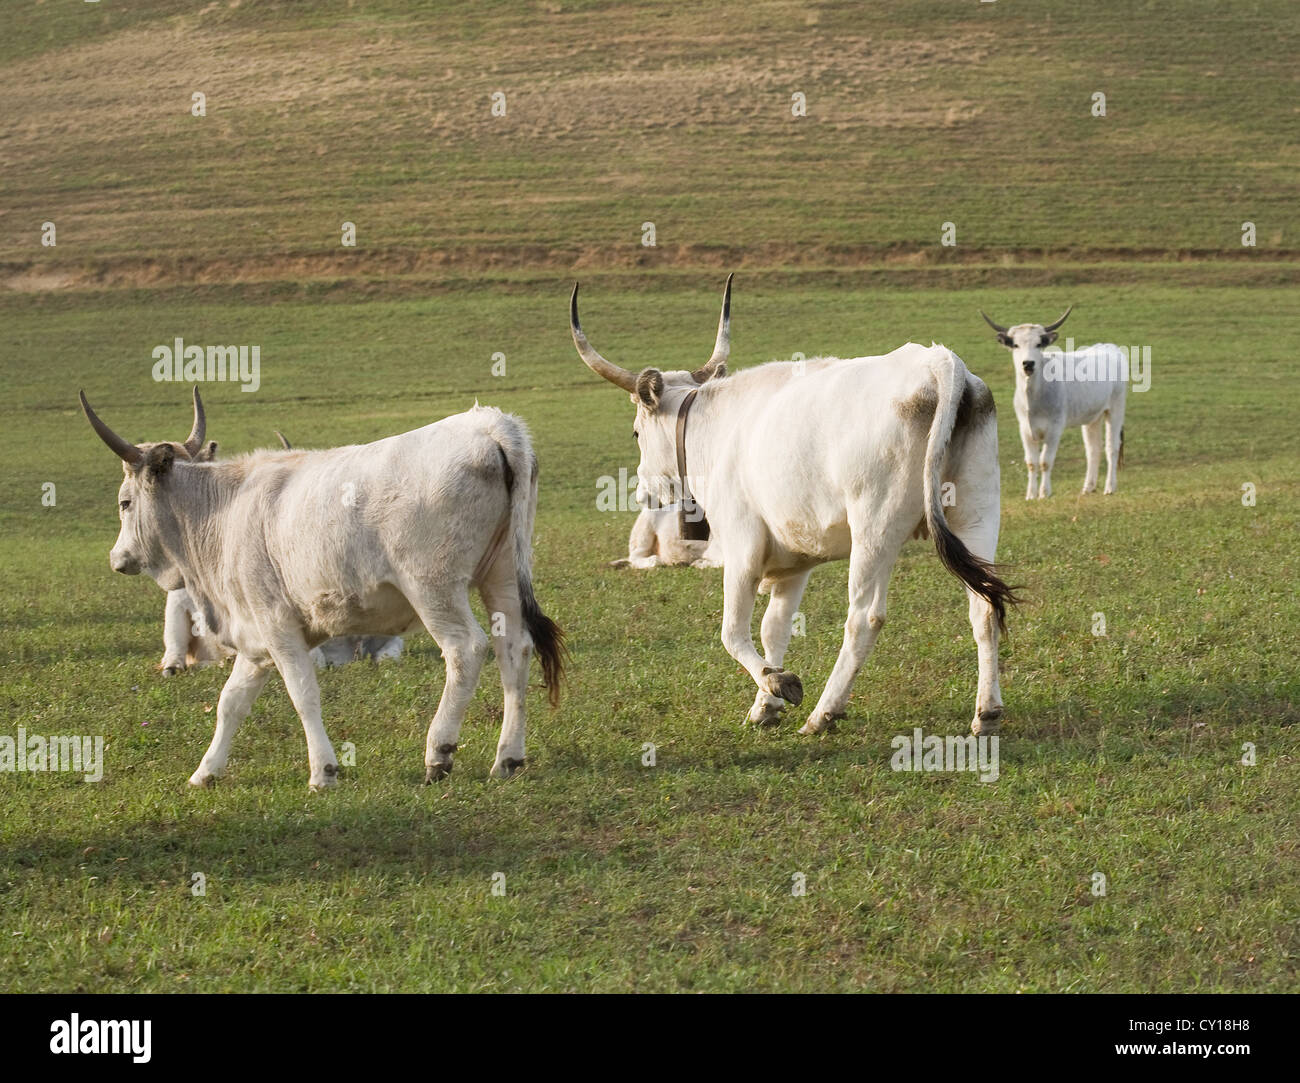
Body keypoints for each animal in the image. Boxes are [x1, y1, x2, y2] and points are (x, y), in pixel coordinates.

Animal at [81, 390, 564, 789]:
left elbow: (302, 694)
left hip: (433, 587)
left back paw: (438, 754)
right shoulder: (256, 637)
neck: (221, 511)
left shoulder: (277, 625)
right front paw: (206, 771)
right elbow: (230, 703)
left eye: (125, 502)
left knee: (466, 649)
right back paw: (507, 758)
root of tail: (490, 425)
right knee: (513, 650)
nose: (117, 558)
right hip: (502, 576)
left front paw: (323, 771)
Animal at [572, 277, 1016, 737]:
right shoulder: (794, 560)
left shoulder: (743, 549)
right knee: (984, 606)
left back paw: (824, 712)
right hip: (977, 514)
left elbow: (733, 632)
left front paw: (777, 683)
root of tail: (938, 364)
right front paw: (763, 706)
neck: (713, 429)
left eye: (636, 432)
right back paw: (986, 712)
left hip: (875, 529)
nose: (644, 493)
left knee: (864, 618)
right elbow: (774, 629)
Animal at [980, 308, 1127, 499]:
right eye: (1015, 345)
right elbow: (1031, 462)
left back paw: (1110, 487)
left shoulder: (1055, 428)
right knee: (1093, 449)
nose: (1028, 364)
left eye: (1038, 344)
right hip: (1092, 416)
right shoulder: (1024, 429)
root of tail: (1109, 347)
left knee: (1112, 447)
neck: (1034, 399)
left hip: (1116, 408)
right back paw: (1088, 487)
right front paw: (1030, 495)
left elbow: (1045, 461)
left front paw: (1044, 493)